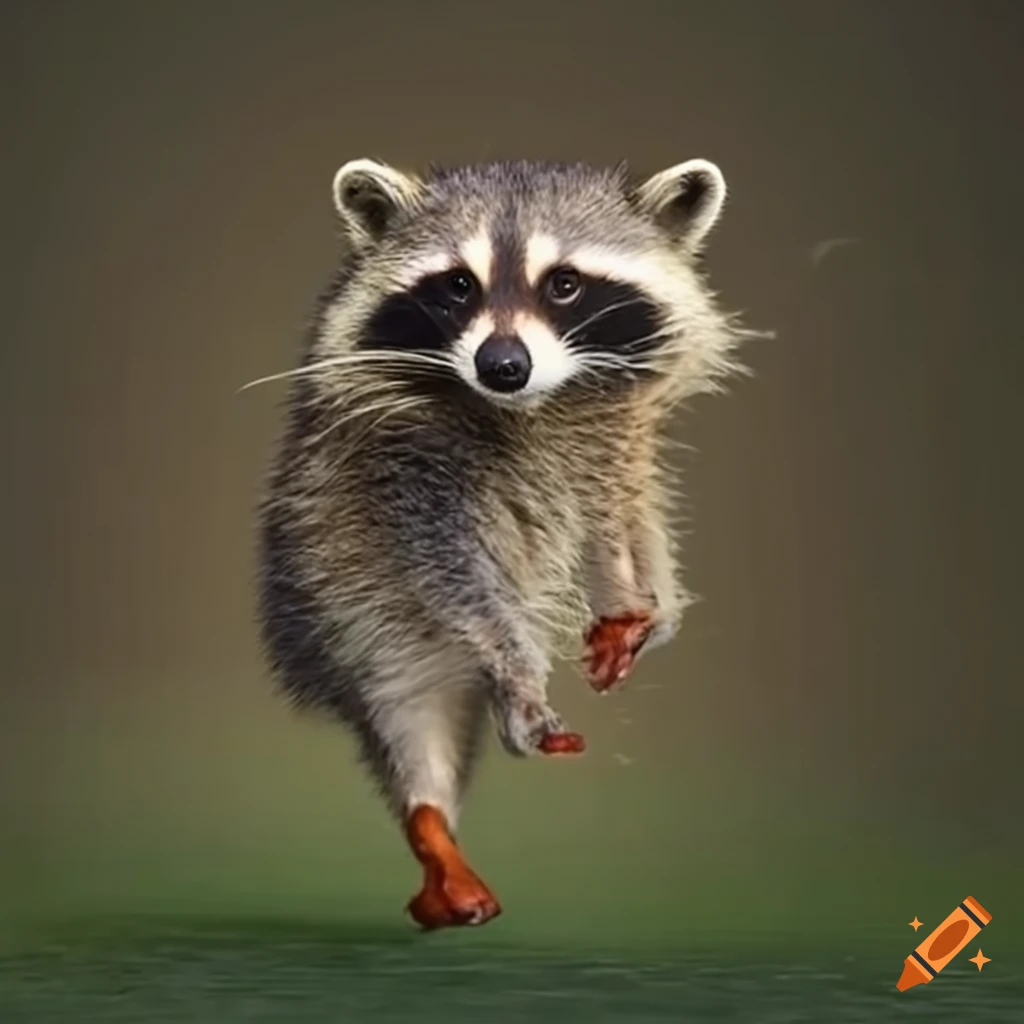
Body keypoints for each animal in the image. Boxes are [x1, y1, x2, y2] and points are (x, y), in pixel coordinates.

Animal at [257, 157, 749, 930]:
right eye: (459, 284)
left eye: (565, 283)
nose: (502, 364)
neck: (528, 405)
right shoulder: (406, 473)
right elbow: (451, 571)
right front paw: (521, 671)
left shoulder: (616, 437)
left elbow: (624, 520)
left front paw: (644, 608)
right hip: (352, 624)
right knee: (409, 723)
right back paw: (431, 823)